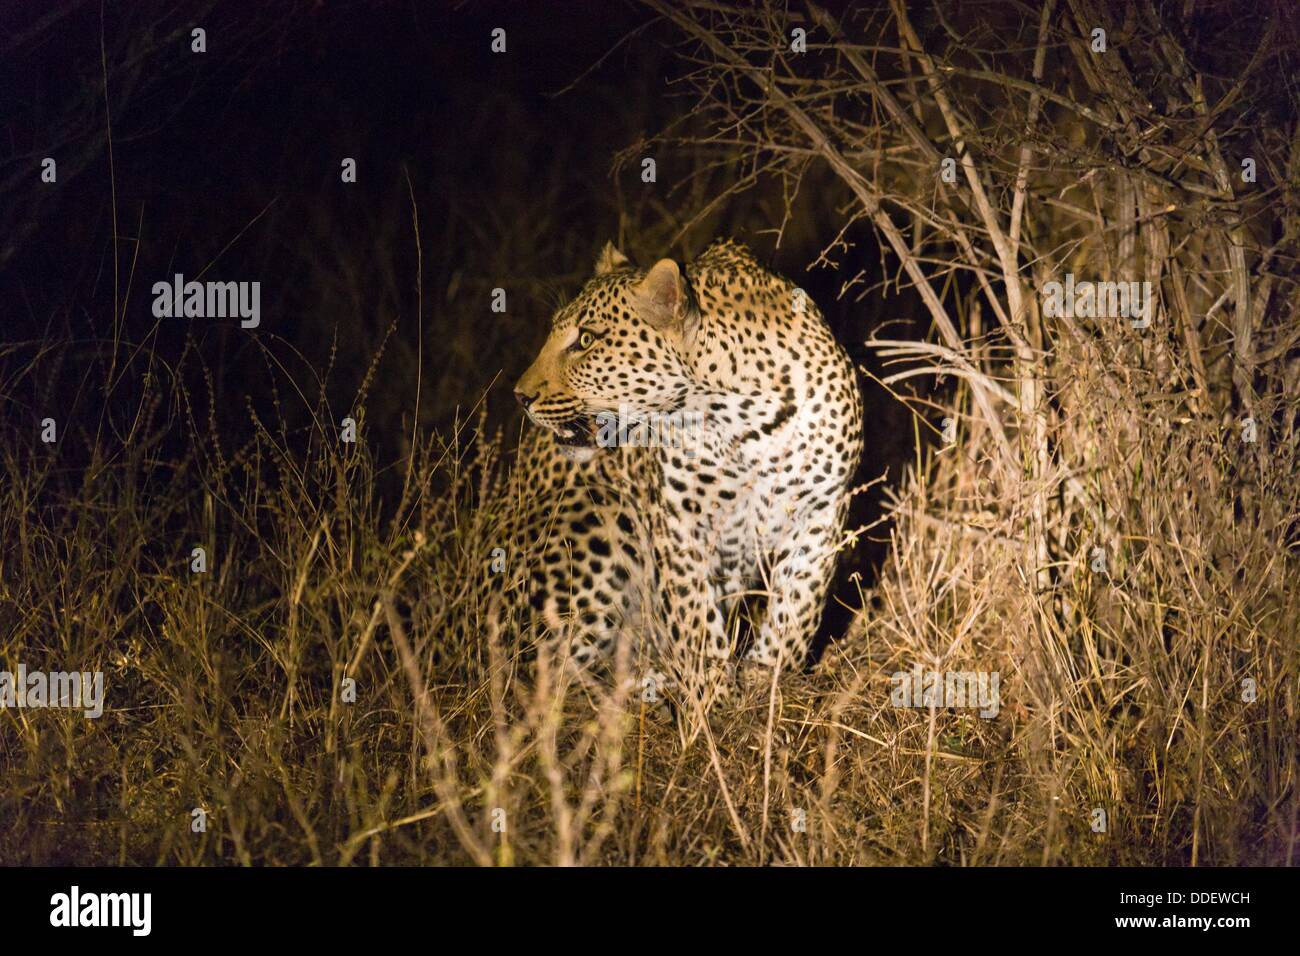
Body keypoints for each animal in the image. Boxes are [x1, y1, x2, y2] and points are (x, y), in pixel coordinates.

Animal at [493, 238, 862, 707]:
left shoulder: (821, 510)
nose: (519, 396)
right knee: (542, 673)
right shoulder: (678, 523)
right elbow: (695, 619)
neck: (741, 419)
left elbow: (797, 606)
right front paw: (715, 702)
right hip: (598, 513)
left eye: (586, 340)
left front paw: (766, 680)